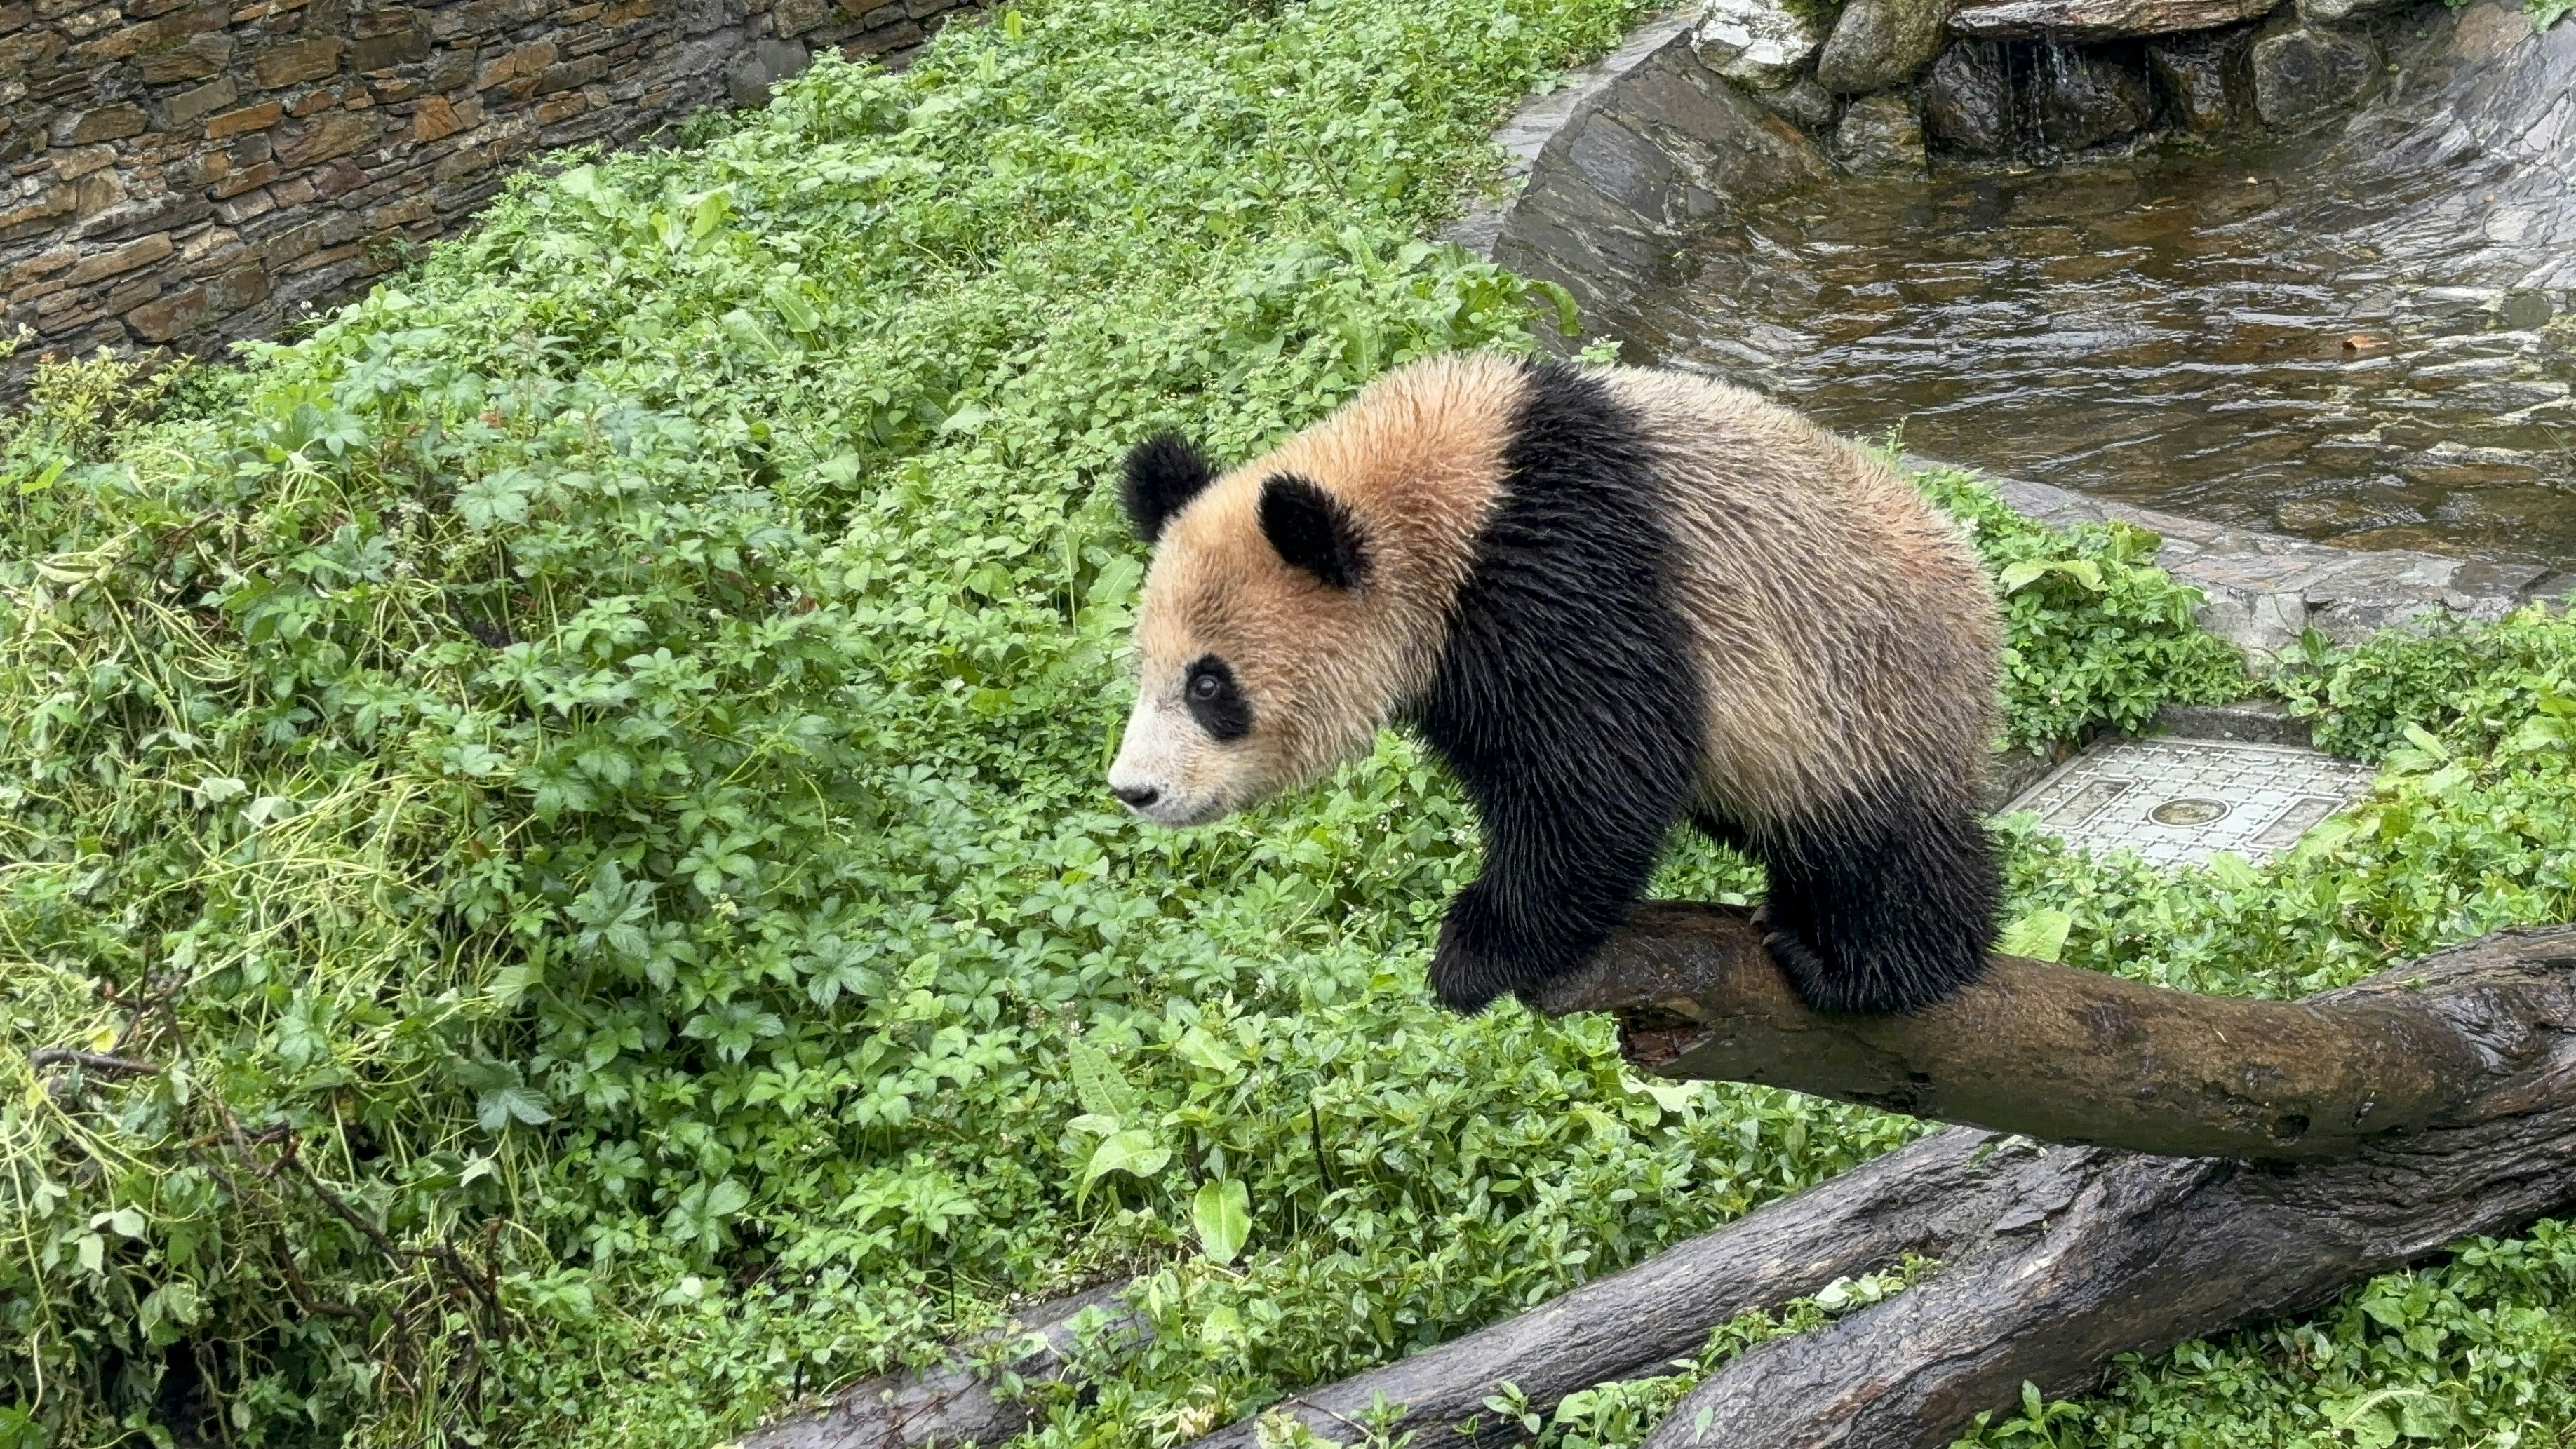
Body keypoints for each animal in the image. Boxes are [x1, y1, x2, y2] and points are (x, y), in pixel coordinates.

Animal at [1106, 351, 2003, 1016]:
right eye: (1147, 667)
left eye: (1209, 686)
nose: (1135, 790)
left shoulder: (1562, 570)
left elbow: (1601, 770)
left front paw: (1477, 949)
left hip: (1862, 688)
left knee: (1884, 848)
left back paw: (1858, 963)